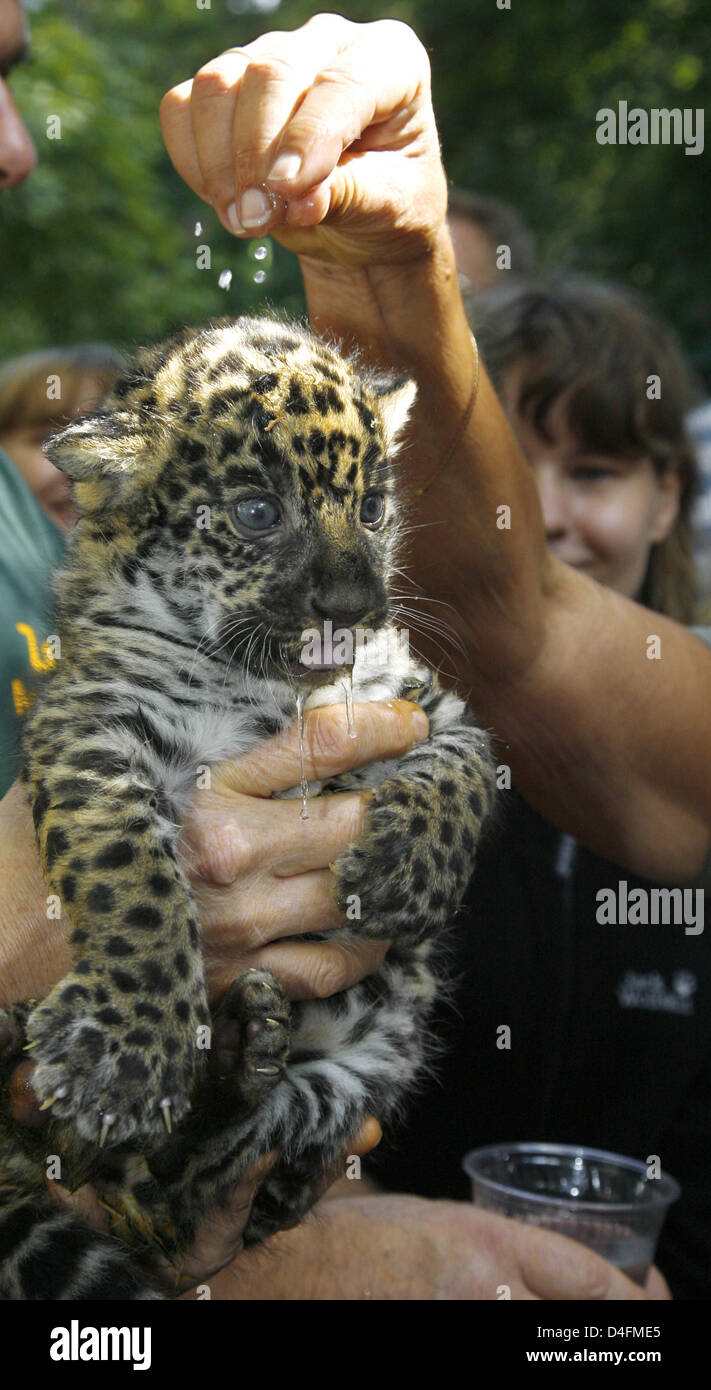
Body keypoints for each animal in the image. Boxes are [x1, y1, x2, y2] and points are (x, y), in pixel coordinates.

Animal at [0, 313, 496, 1298]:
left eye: (373, 509)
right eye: (257, 514)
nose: (351, 604)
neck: (272, 688)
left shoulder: (421, 702)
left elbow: (463, 768)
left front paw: (407, 876)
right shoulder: (94, 723)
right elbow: (135, 877)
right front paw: (124, 1054)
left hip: (358, 1069)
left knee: (200, 1175)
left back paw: (242, 1051)